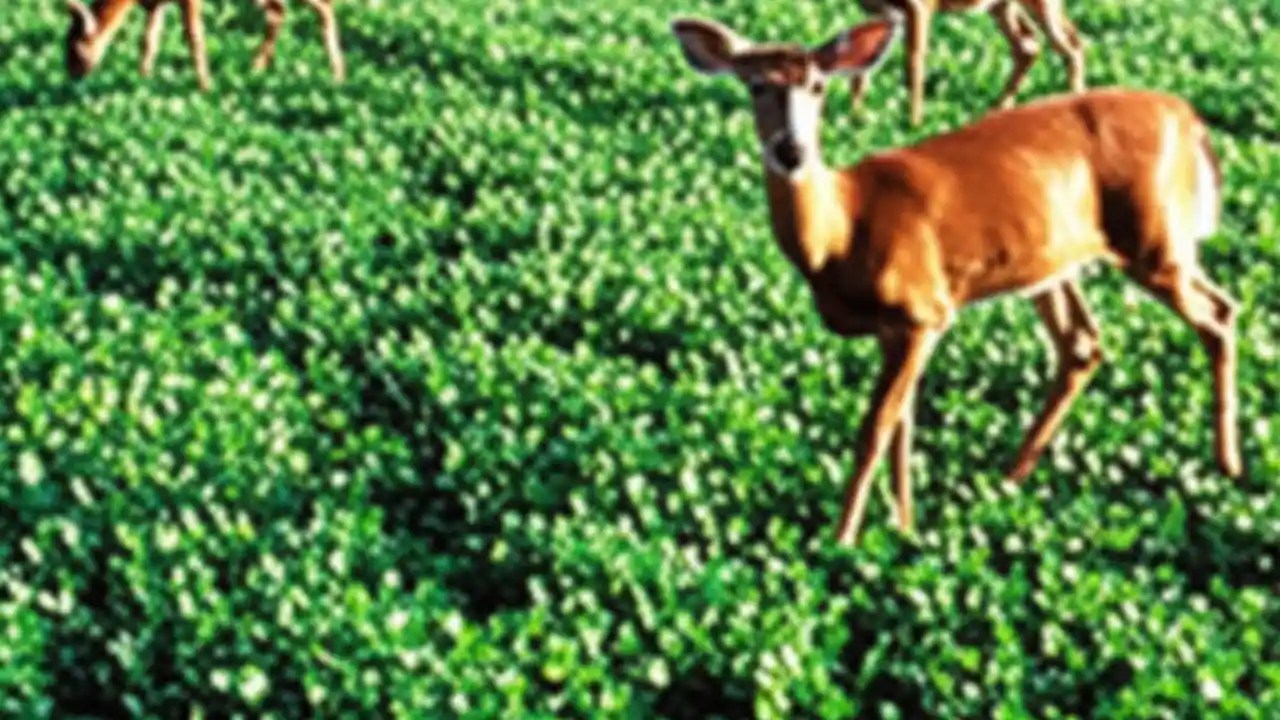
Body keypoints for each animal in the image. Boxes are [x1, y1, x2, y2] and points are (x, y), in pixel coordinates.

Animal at [64, 0, 345, 92]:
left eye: (74, 49)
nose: (72, 76)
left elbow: (194, 38)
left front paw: (205, 87)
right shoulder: (155, 3)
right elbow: (148, 41)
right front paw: (143, 78)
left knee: (323, 7)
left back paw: (338, 74)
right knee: (278, 12)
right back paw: (255, 69)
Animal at [669, 16, 1242, 547]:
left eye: (817, 86)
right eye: (755, 85)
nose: (792, 152)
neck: (841, 229)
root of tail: (1187, 118)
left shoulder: (923, 310)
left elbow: (875, 427)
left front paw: (843, 538)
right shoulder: (894, 327)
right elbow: (902, 425)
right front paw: (903, 525)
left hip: (1158, 236)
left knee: (1219, 313)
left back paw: (1228, 466)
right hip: (1051, 262)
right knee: (1083, 343)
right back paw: (1011, 476)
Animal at [850, 0, 1085, 126]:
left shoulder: (919, 7)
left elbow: (913, 65)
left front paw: (913, 125)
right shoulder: (876, 10)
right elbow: (860, 71)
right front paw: (857, 119)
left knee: (1072, 43)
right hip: (1001, 4)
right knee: (1028, 44)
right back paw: (995, 111)